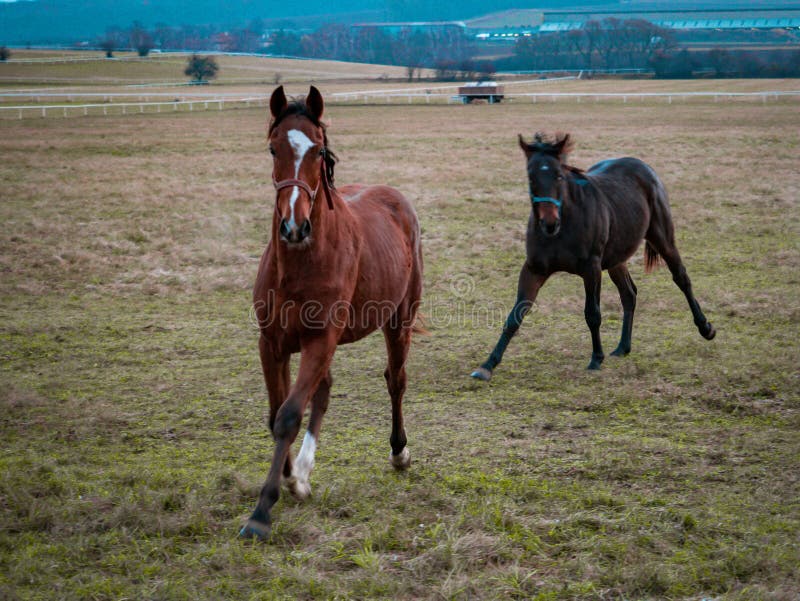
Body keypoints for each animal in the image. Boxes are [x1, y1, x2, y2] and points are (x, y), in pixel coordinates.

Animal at [241, 86, 424, 540]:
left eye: (319, 150)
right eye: (273, 148)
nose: (294, 227)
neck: (299, 264)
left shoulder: (318, 339)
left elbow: (289, 415)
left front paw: (262, 511)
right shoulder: (272, 344)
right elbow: (277, 413)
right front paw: (292, 477)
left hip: (398, 320)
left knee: (396, 380)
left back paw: (399, 453)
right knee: (323, 392)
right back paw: (304, 473)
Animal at [471, 132, 715, 381]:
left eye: (559, 175)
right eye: (531, 177)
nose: (549, 222)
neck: (564, 226)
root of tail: (644, 168)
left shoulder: (591, 269)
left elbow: (592, 313)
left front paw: (596, 358)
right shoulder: (534, 269)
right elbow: (515, 315)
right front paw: (487, 365)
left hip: (662, 239)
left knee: (681, 278)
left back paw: (705, 328)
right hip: (616, 259)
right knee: (629, 294)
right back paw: (622, 347)